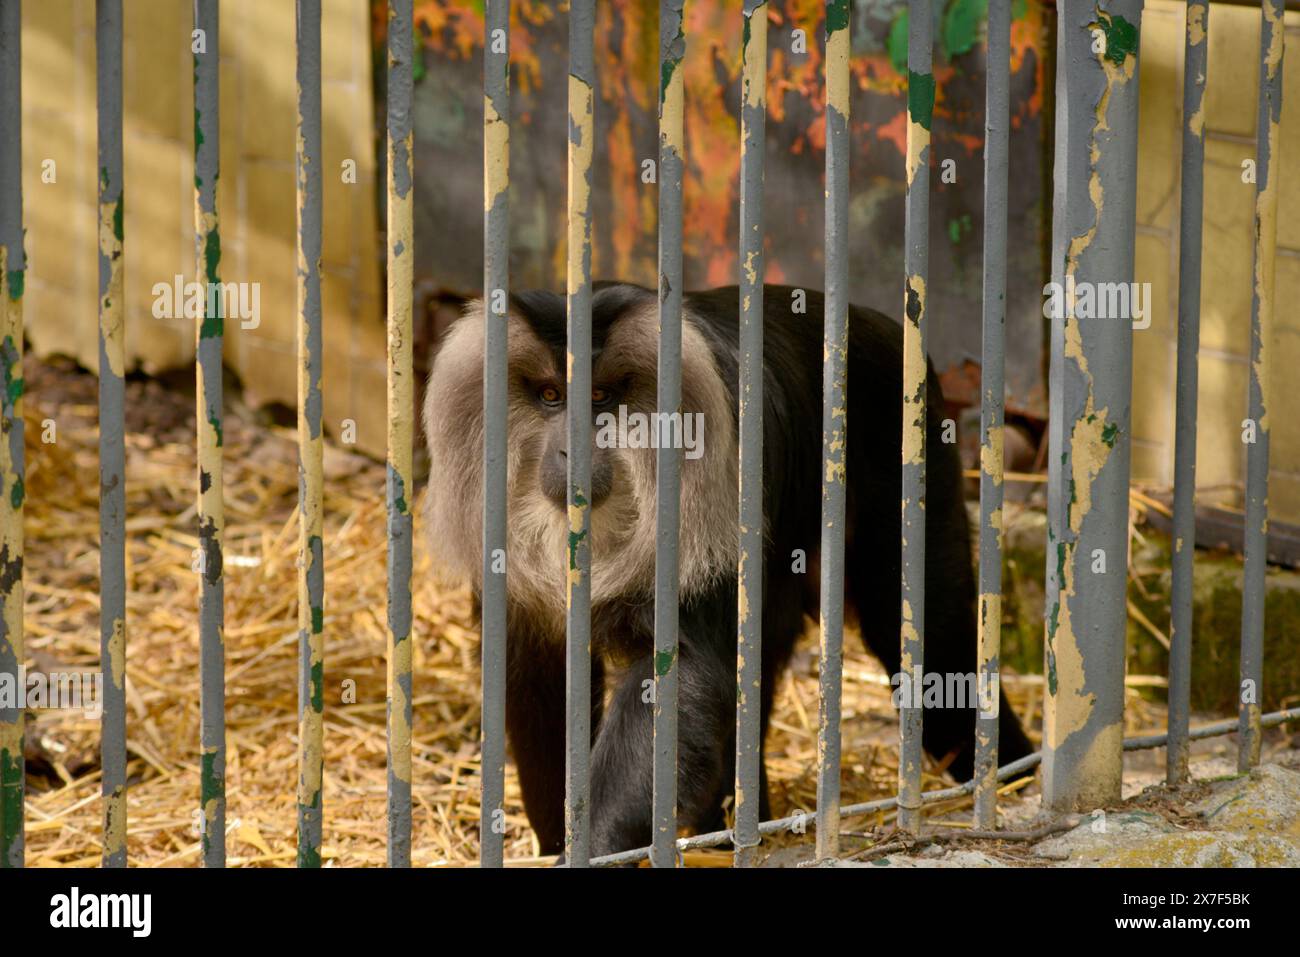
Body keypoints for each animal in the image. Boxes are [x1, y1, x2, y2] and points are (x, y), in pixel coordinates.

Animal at [422, 281, 1035, 859]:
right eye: (550, 396)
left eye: (601, 399)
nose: (572, 452)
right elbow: (539, 673)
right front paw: (558, 842)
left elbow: (680, 672)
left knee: (930, 634)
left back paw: (1010, 776)